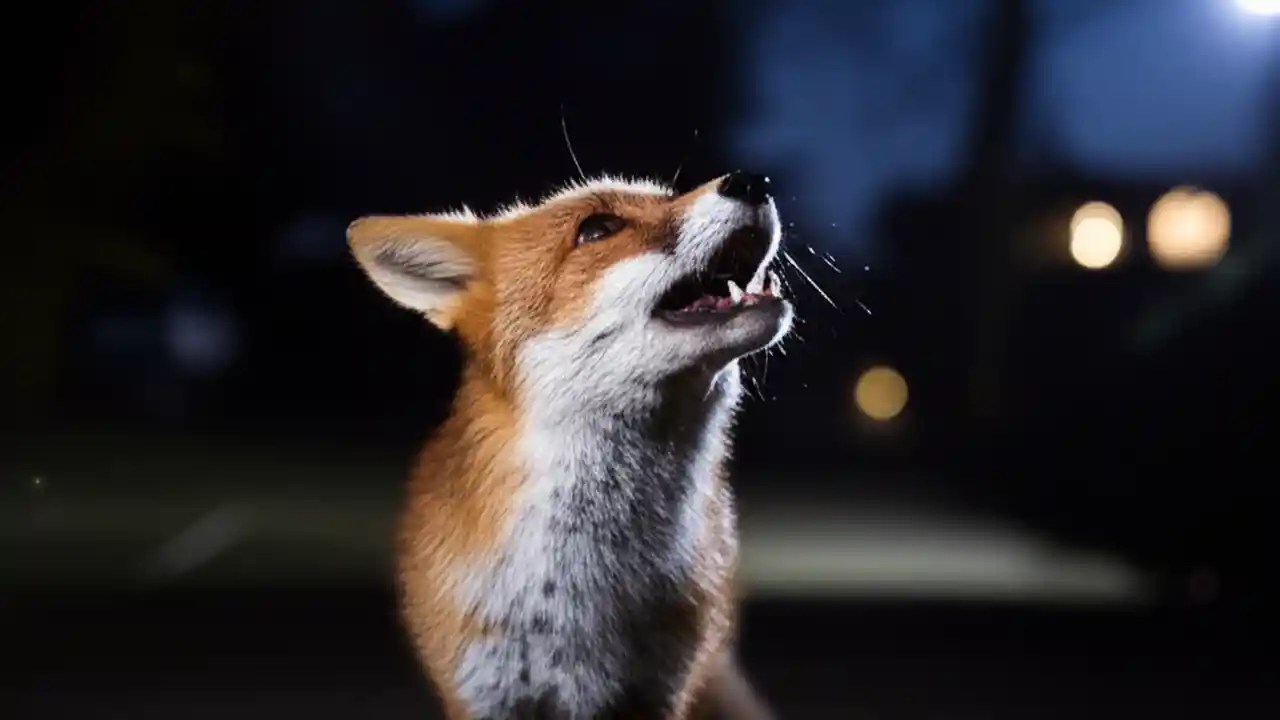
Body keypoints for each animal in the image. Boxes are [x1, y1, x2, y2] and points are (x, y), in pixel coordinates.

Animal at [346, 171, 792, 720]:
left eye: (667, 196)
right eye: (598, 228)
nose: (752, 181)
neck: (577, 601)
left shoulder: (658, 691)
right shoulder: (483, 690)